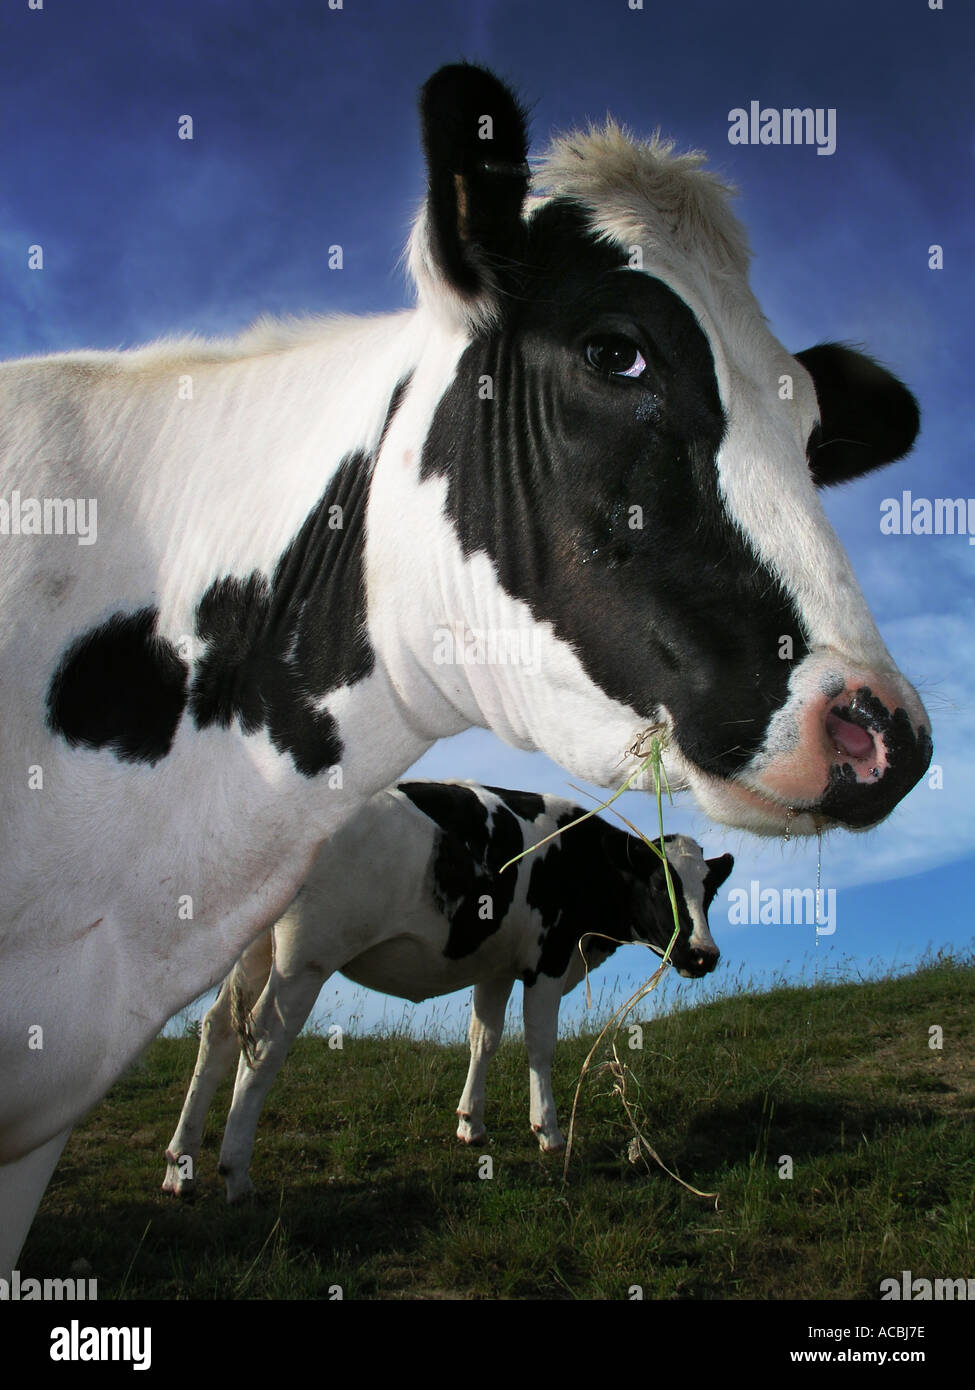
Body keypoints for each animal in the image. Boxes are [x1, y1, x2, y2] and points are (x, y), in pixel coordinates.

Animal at [160, 780, 733, 1201]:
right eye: (662, 885)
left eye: (709, 891)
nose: (704, 955)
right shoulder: (547, 958)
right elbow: (540, 1045)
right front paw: (547, 1131)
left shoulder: (496, 964)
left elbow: (485, 1037)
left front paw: (470, 1123)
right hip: (306, 959)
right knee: (262, 1040)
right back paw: (235, 1173)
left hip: (254, 947)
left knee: (218, 1030)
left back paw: (179, 1168)